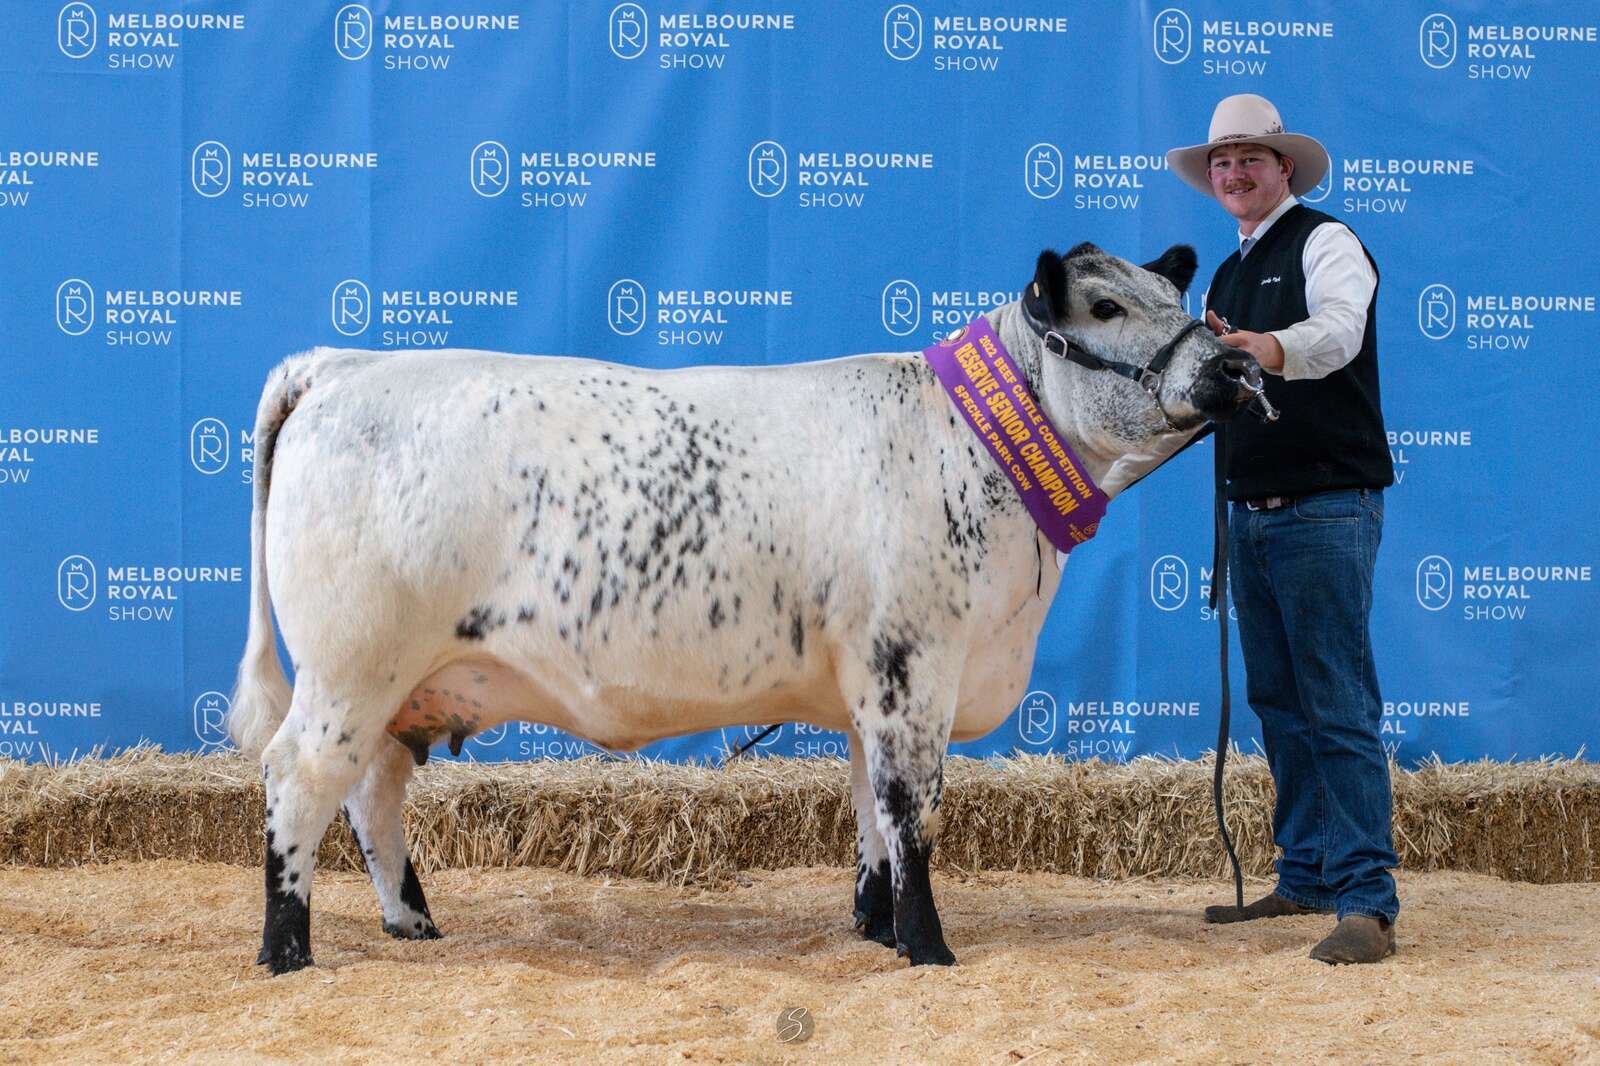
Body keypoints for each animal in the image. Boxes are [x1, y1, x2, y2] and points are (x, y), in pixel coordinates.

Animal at [228, 241, 1263, 975]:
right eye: (1107, 307)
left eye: (1181, 301)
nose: (1232, 368)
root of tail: (339, 366)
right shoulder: (914, 665)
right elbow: (911, 810)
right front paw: (930, 949)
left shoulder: (871, 685)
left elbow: (869, 812)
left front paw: (876, 930)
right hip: (351, 664)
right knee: (298, 780)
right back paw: (287, 949)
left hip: (400, 681)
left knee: (370, 794)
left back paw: (413, 922)